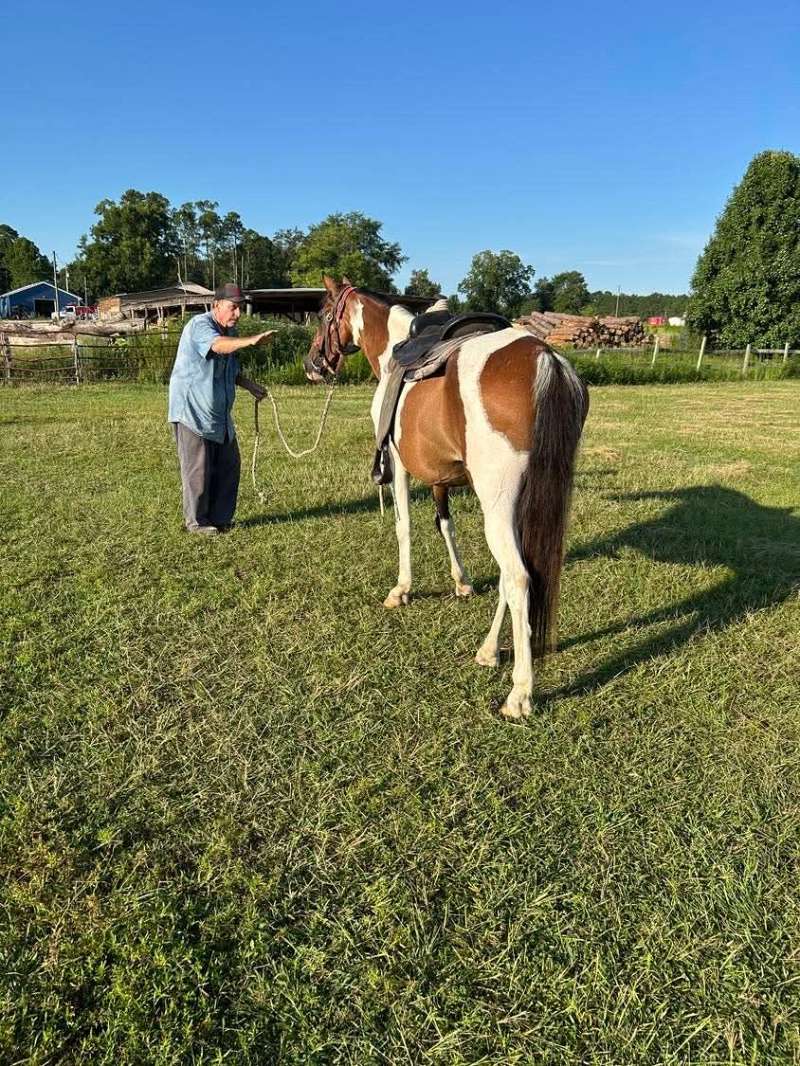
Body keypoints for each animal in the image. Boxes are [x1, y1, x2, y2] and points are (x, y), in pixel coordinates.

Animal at [304, 276, 589, 718]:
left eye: (322, 314)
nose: (313, 364)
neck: (395, 346)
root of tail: (546, 359)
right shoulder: (440, 476)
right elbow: (445, 525)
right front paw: (462, 582)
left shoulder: (398, 464)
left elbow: (404, 527)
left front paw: (401, 590)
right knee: (513, 574)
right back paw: (489, 650)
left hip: (497, 503)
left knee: (517, 577)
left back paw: (519, 693)